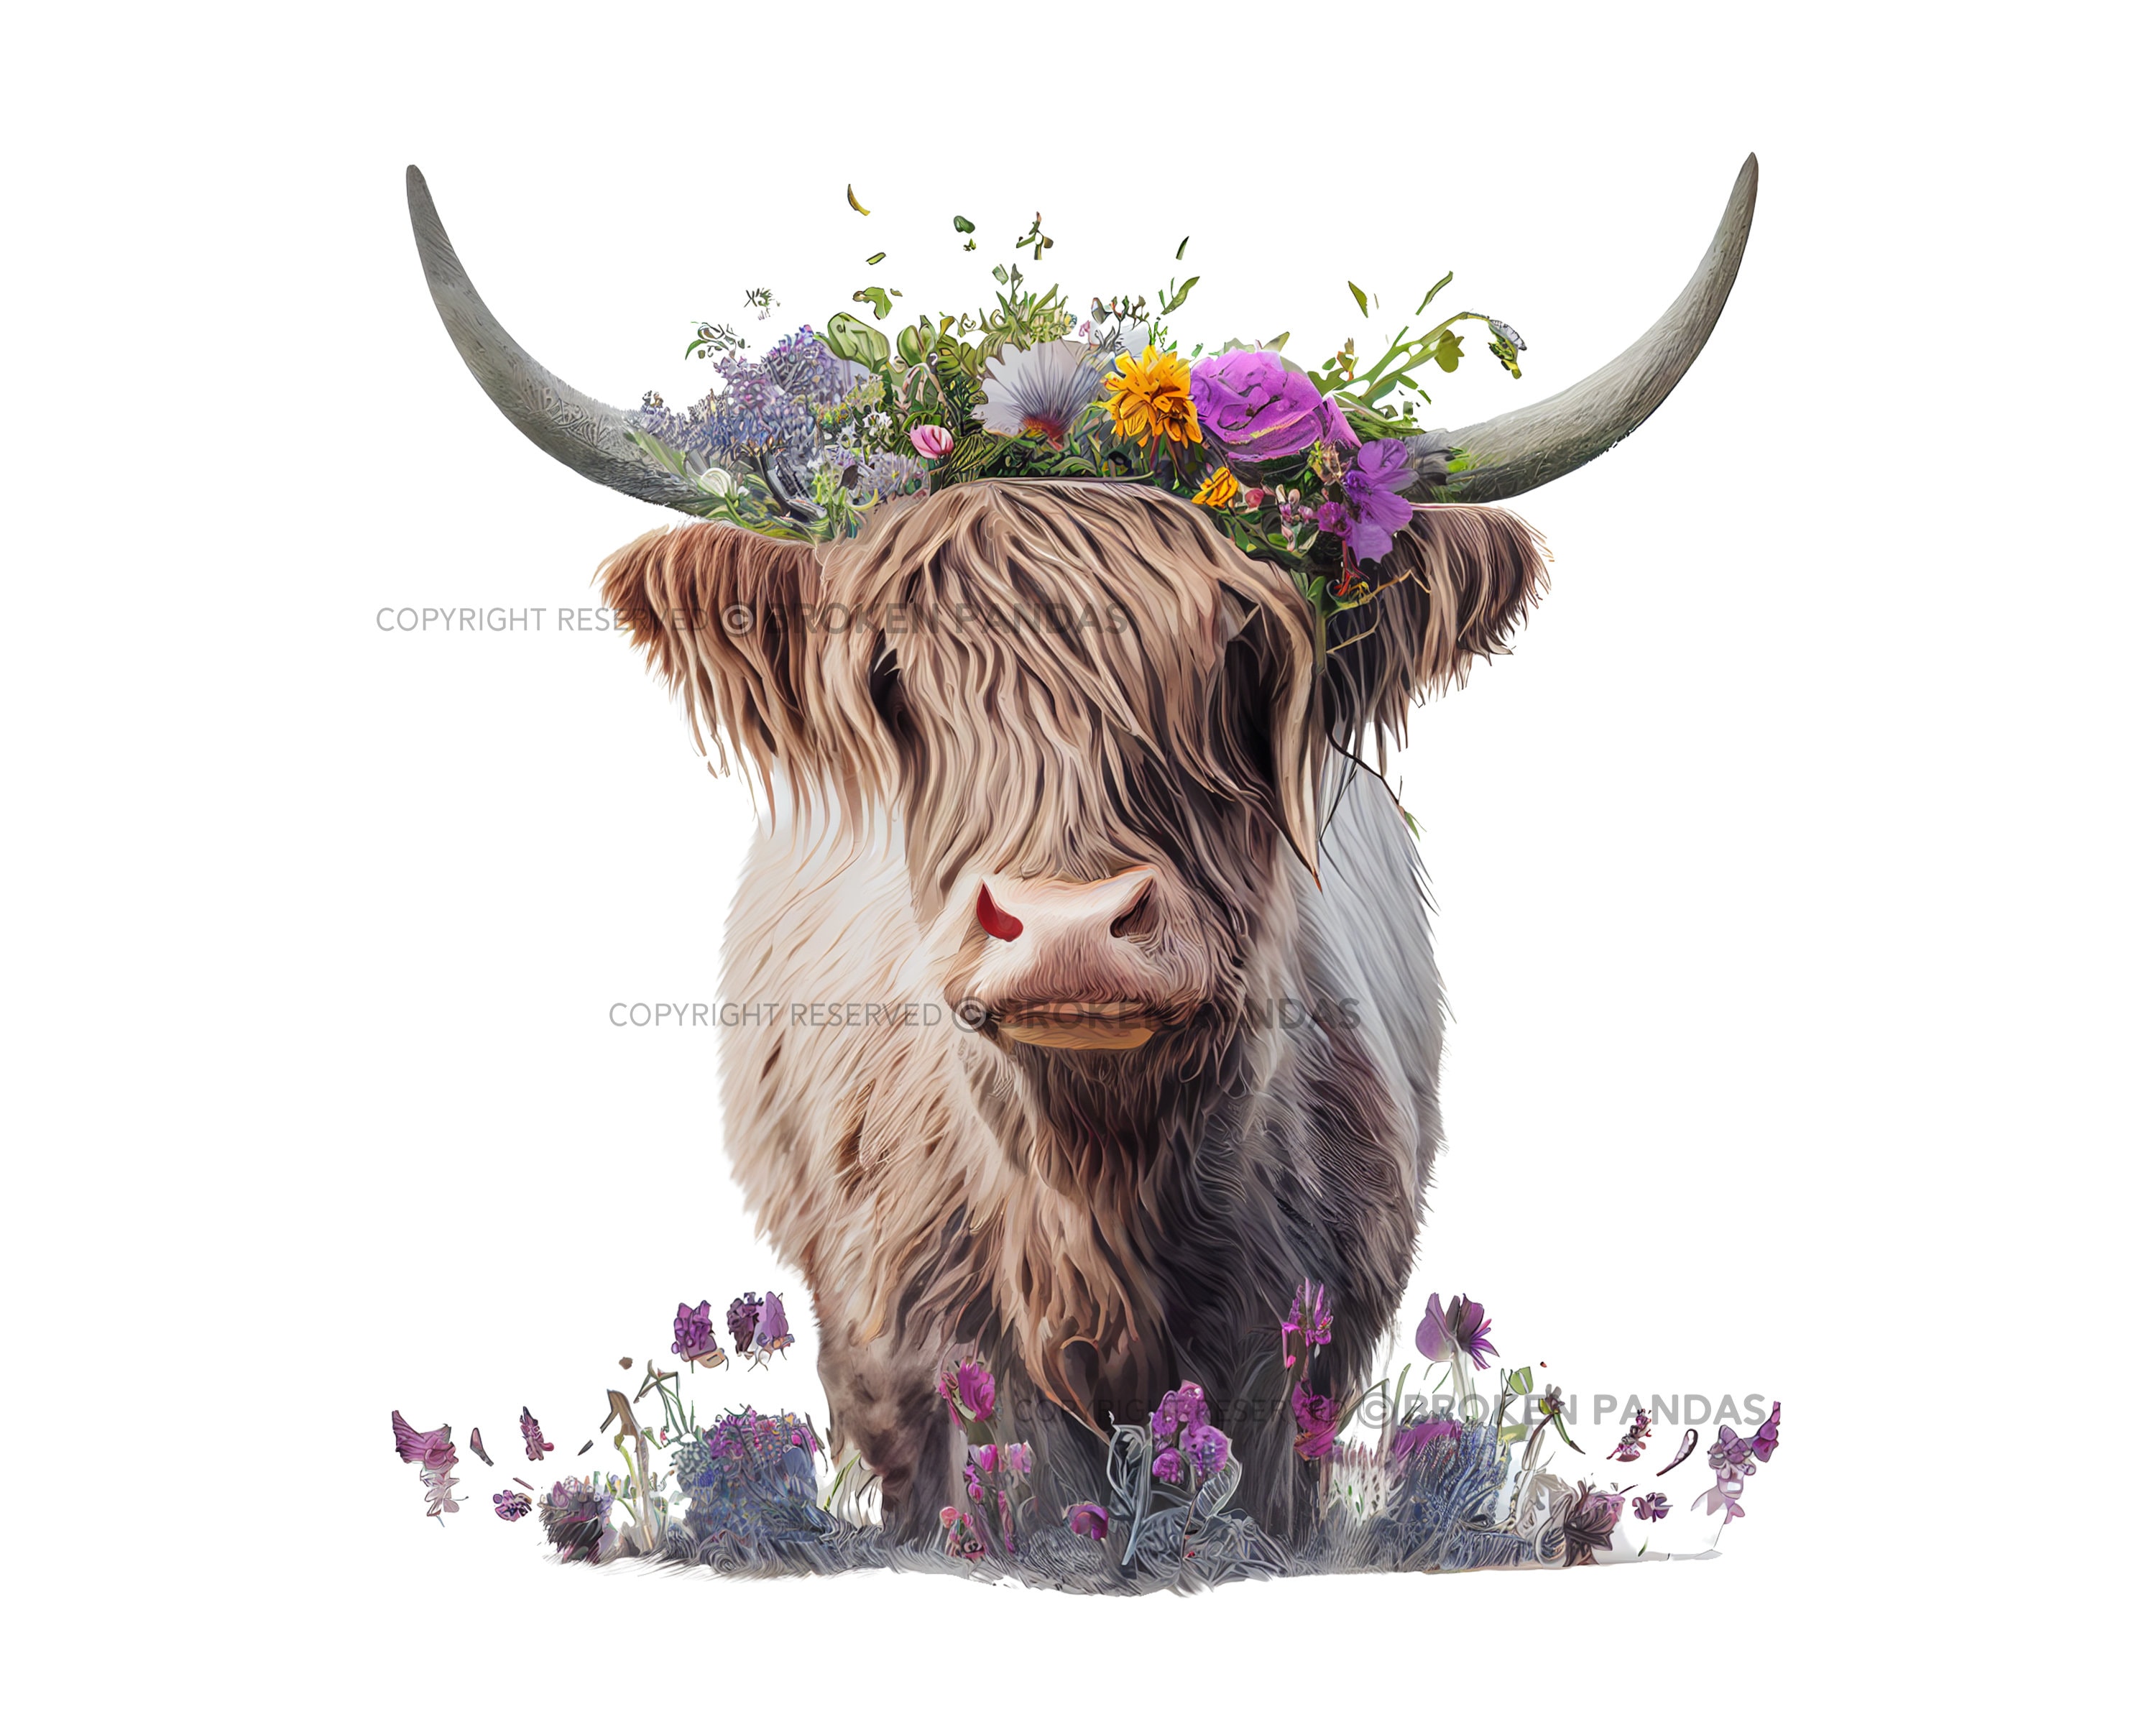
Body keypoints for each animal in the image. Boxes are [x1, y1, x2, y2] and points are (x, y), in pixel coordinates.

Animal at [406, 158, 1756, 1542]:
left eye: (1244, 654)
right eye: (890, 674)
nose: (1068, 931)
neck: (1099, 1204)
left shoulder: (1299, 1365)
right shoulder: (916, 1355)